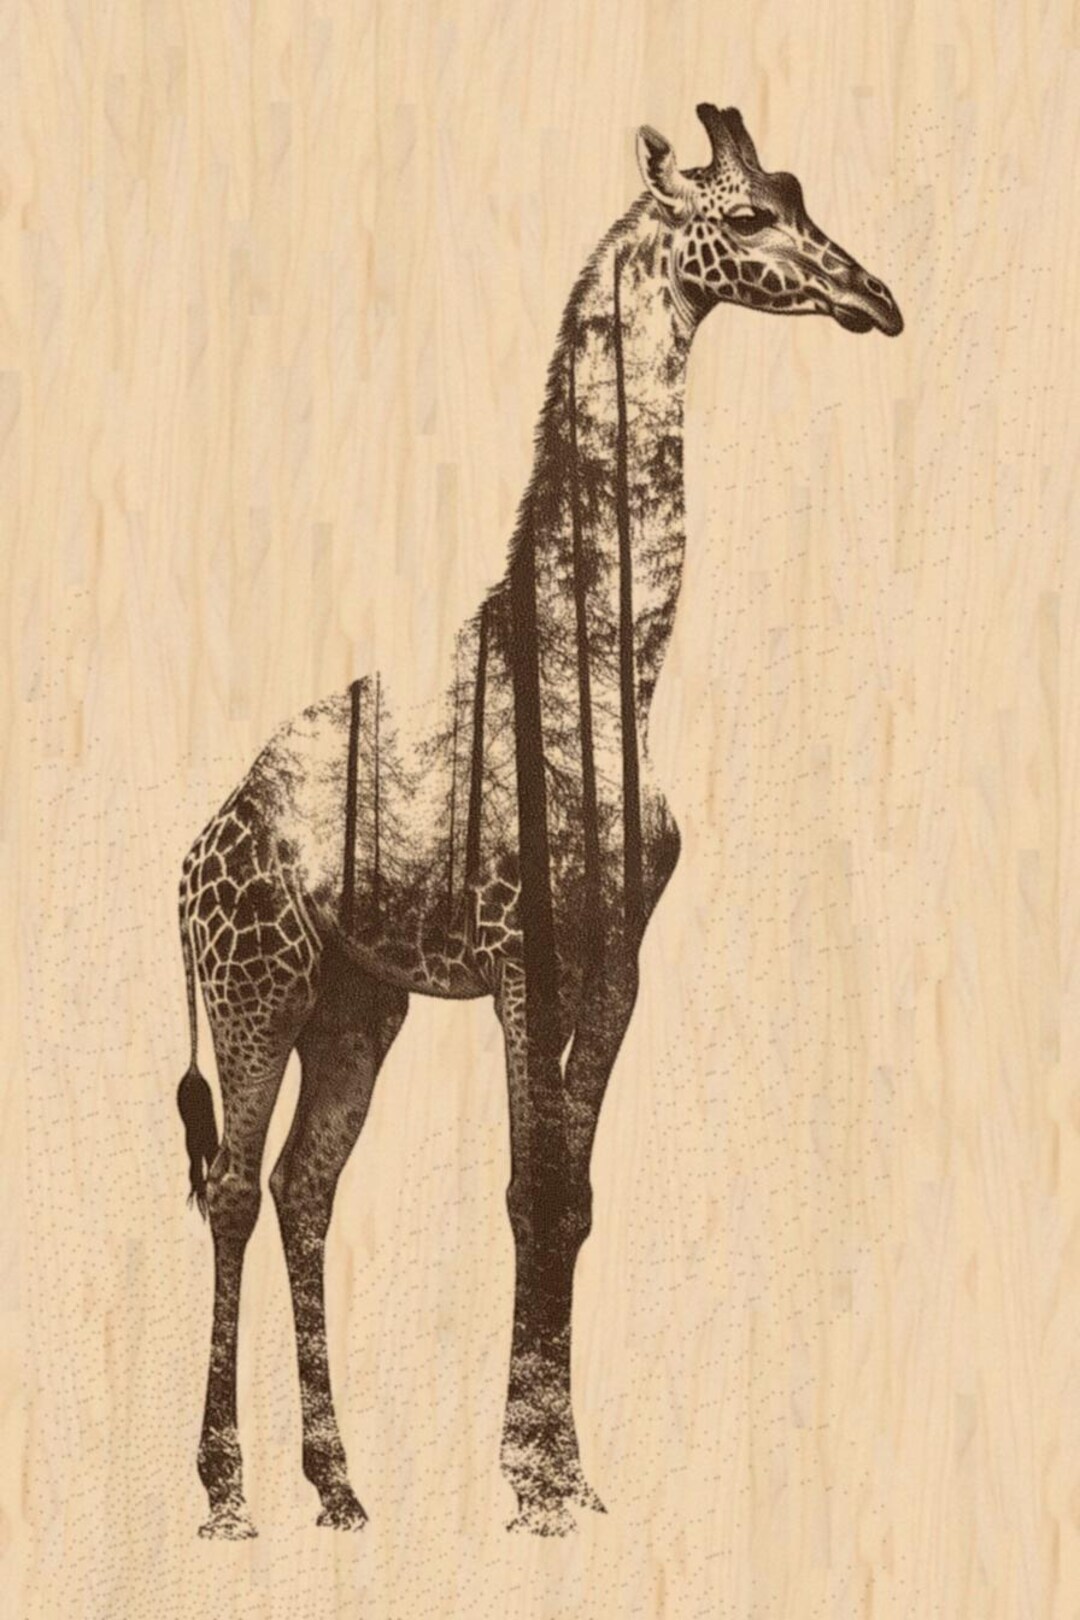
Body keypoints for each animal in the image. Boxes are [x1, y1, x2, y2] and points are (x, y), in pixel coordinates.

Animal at [176, 103, 902, 1540]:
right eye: (748, 217)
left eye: (802, 196)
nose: (878, 299)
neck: (612, 676)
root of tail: (188, 860)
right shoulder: (525, 952)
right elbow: (526, 1187)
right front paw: (533, 1479)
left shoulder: (619, 959)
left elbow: (571, 1195)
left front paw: (560, 1467)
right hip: (256, 984)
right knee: (230, 1185)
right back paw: (226, 1492)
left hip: (361, 1005)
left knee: (300, 1190)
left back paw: (339, 1487)